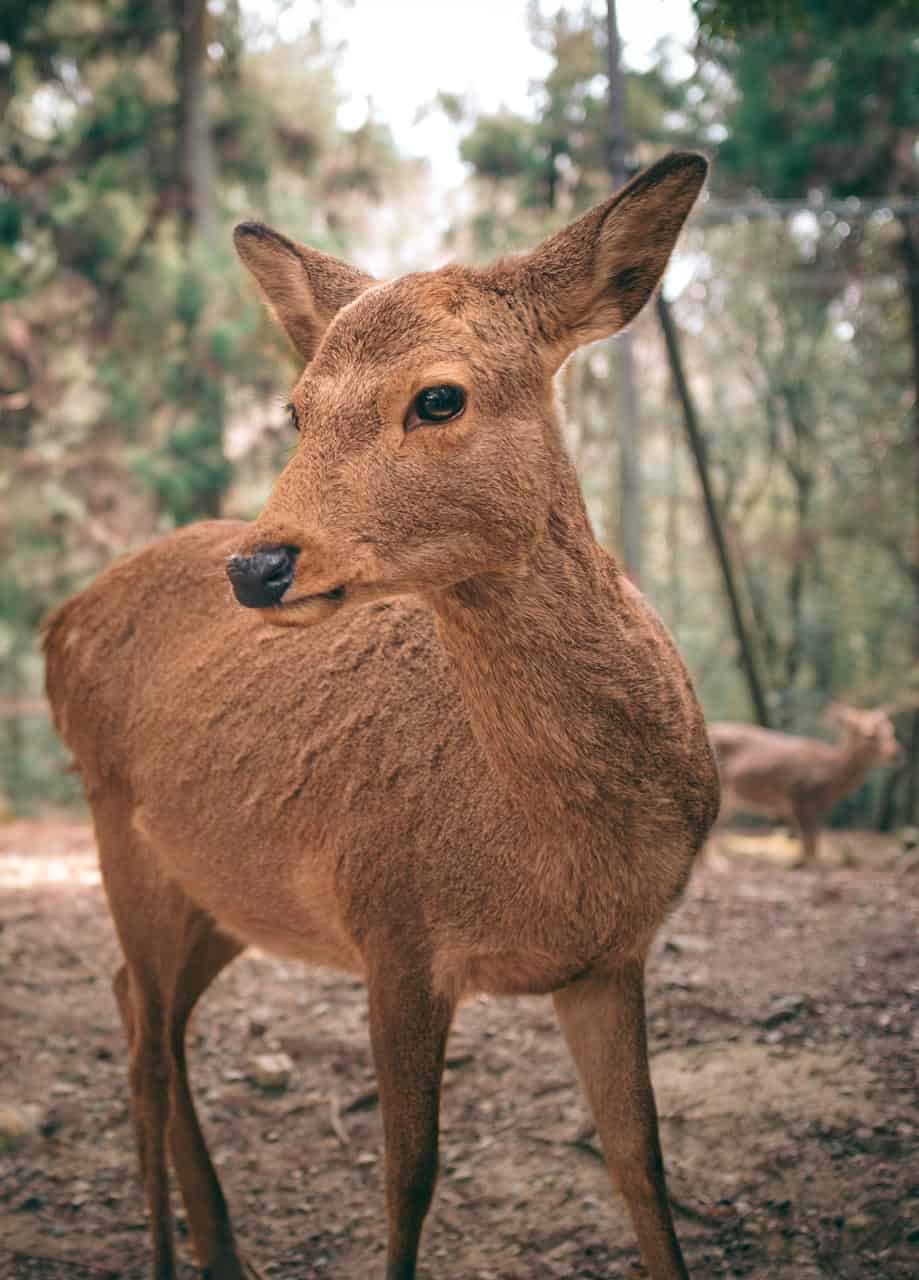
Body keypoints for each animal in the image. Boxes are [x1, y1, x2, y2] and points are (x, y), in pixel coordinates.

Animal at [42, 152, 720, 1280]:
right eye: (296, 409)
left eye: (437, 397)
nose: (259, 564)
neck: (554, 846)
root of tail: (59, 621)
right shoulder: (391, 922)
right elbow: (409, 1174)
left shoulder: (610, 955)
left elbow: (642, 1163)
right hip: (115, 833)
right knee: (142, 1043)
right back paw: (171, 1253)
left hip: (222, 889)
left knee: (145, 1006)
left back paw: (223, 1248)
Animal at [708, 703, 901, 866]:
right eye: (869, 735)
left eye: (891, 730)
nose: (896, 753)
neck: (831, 780)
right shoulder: (798, 796)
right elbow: (808, 848)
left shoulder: (818, 808)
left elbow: (814, 844)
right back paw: (718, 864)